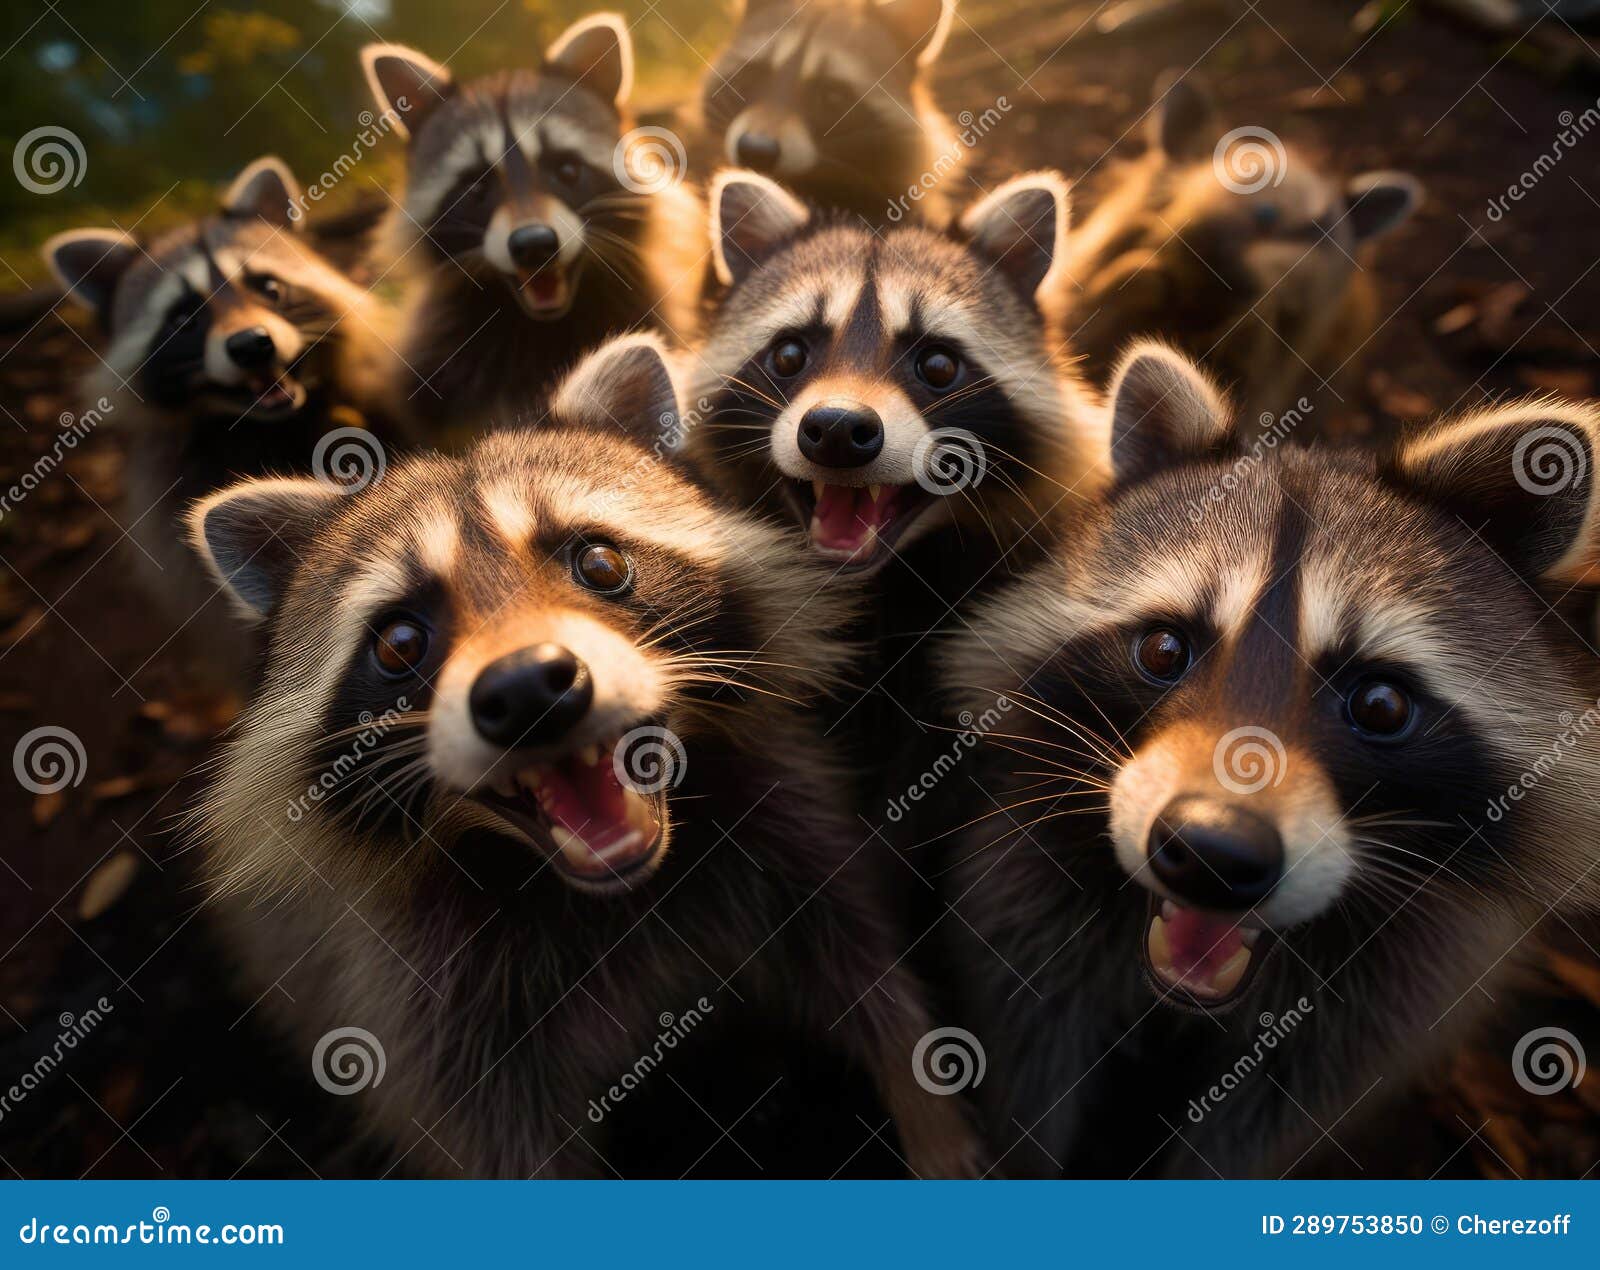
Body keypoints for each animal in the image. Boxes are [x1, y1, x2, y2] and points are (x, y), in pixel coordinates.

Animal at [184, 334, 979, 1178]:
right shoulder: (431, 1018)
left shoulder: (792, 839)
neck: (613, 891)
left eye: (598, 562)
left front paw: (930, 1114)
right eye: (400, 643)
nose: (527, 689)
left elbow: (869, 979)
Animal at [930, 341, 1600, 1177]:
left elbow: (1274, 1121)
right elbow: (1025, 1034)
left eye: (1380, 705)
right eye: (1164, 649)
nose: (1211, 853)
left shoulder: (1401, 987)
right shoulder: (1024, 879)